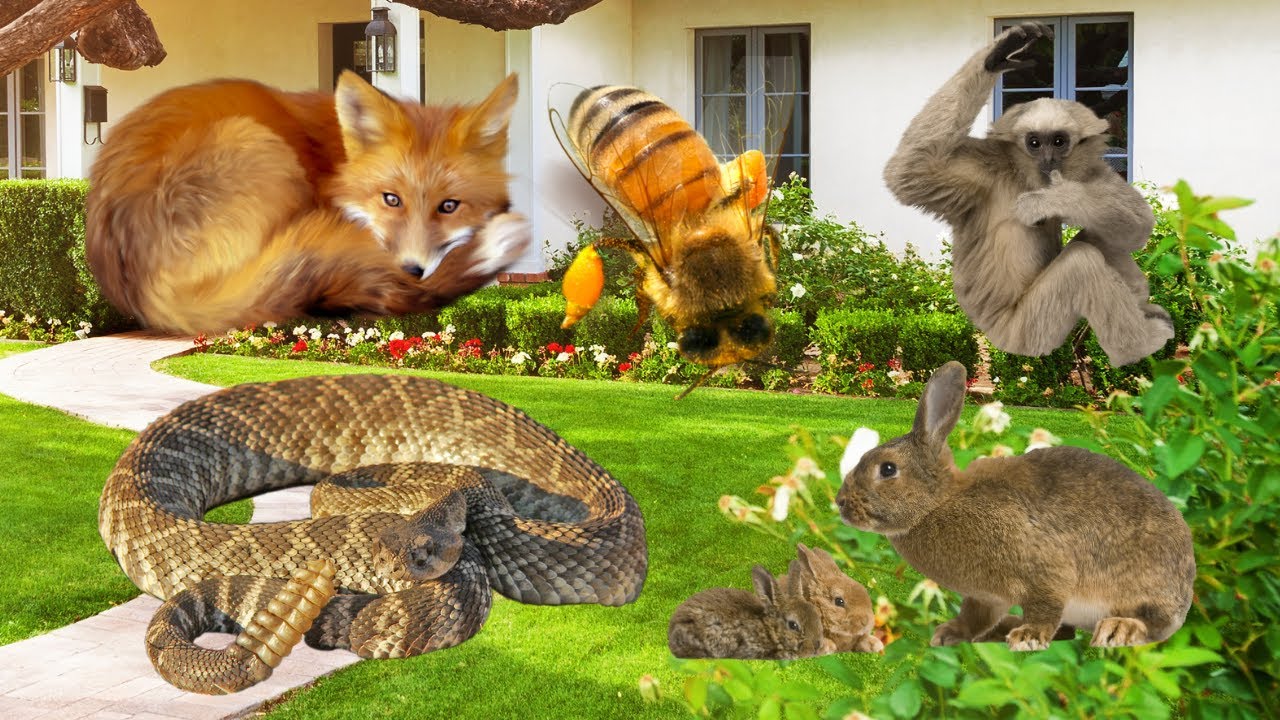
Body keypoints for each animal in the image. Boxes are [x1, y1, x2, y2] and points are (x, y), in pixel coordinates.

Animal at [834, 361, 1196, 651]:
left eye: (887, 469)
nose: (841, 504)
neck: (938, 503)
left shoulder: (1045, 569)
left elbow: (1045, 605)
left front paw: (1029, 637)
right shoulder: (984, 596)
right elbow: (976, 616)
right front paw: (950, 634)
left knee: (1155, 624)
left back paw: (1117, 630)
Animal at [883, 22, 1172, 367]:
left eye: (1059, 141)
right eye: (1034, 143)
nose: (1048, 159)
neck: (1024, 179)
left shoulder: (1090, 173)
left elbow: (1140, 225)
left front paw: (1056, 201)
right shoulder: (982, 174)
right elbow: (909, 174)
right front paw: (997, 55)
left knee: (1101, 237)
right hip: (1027, 330)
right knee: (1082, 261)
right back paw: (1139, 345)